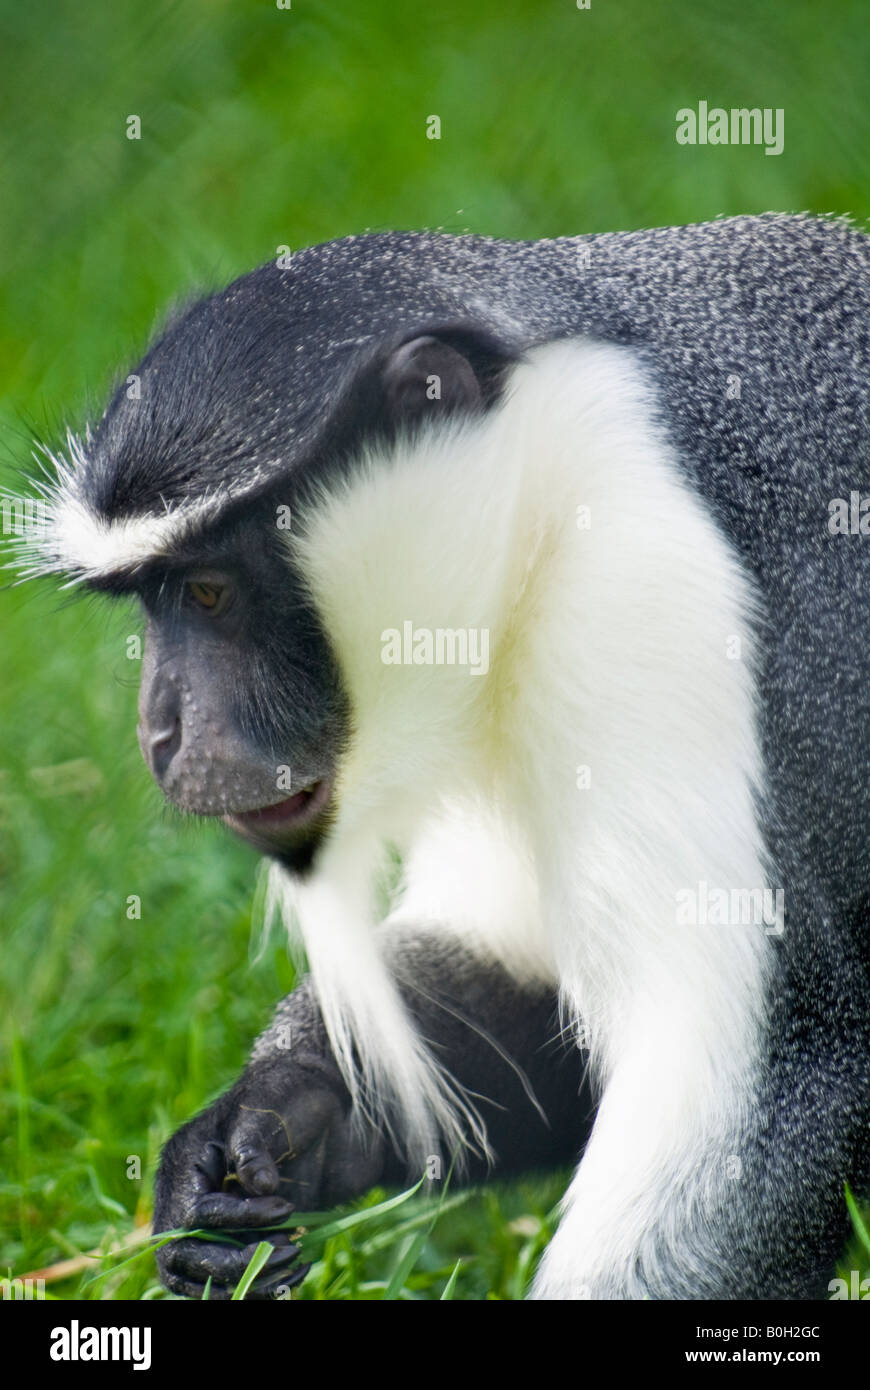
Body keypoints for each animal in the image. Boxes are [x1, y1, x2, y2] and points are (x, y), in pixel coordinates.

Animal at [16, 211, 870, 1300]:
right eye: (150, 603)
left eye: (208, 592)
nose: (158, 730)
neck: (548, 458)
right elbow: (513, 964)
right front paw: (272, 1117)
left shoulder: (644, 582)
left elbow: (760, 1085)